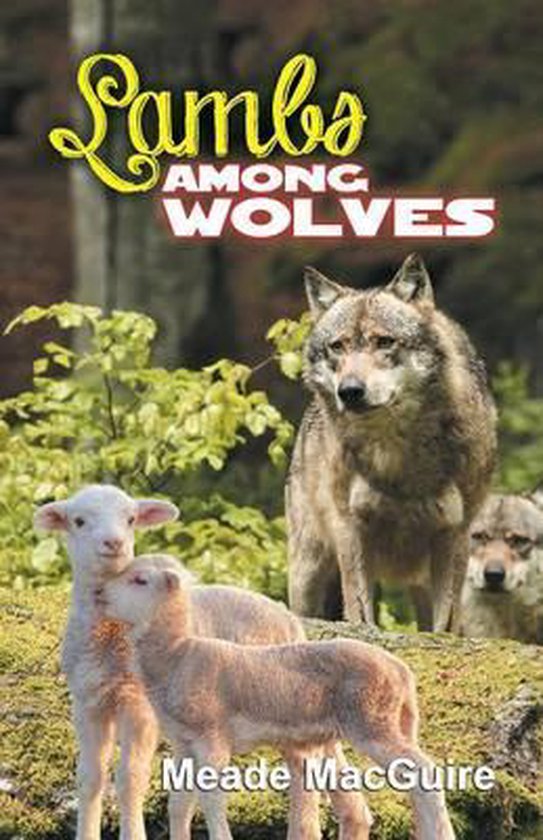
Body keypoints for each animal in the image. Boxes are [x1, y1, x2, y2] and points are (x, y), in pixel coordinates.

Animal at [36, 487, 369, 840]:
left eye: (131, 519)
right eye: (78, 521)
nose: (114, 543)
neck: (110, 640)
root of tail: (290, 619)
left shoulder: (140, 706)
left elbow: (130, 779)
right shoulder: (87, 701)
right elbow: (89, 778)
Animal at [97, 555, 456, 840]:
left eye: (140, 580)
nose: (98, 593)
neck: (176, 654)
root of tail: (402, 672)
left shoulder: (213, 737)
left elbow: (212, 800)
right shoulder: (183, 743)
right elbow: (179, 804)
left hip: (372, 722)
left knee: (426, 774)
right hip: (387, 725)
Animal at [286, 253, 497, 631]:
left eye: (384, 342)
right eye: (338, 346)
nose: (350, 391)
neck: (397, 453)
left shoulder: (455, 532)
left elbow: (445, 625)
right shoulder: (350, 528)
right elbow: (360, 613)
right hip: (307, 571)